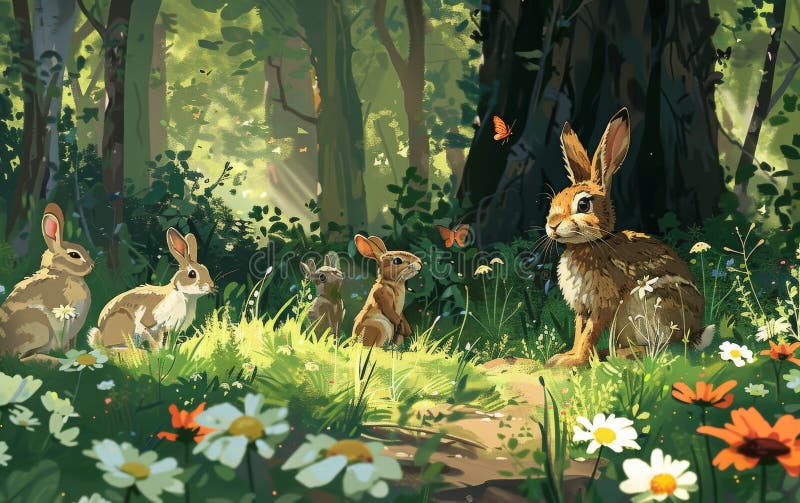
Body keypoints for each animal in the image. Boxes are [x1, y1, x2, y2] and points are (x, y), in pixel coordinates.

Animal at [544, 108, 714, 367]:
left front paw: (574, 361)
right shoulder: (583, 307)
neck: (590, 244)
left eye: (583, 204)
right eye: (554, 201)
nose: (552, 225)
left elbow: (589, 332)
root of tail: (693, 333)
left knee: (661, 348)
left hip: (654, 308)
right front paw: (565, 356)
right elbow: (579, 331)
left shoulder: (604, 302)